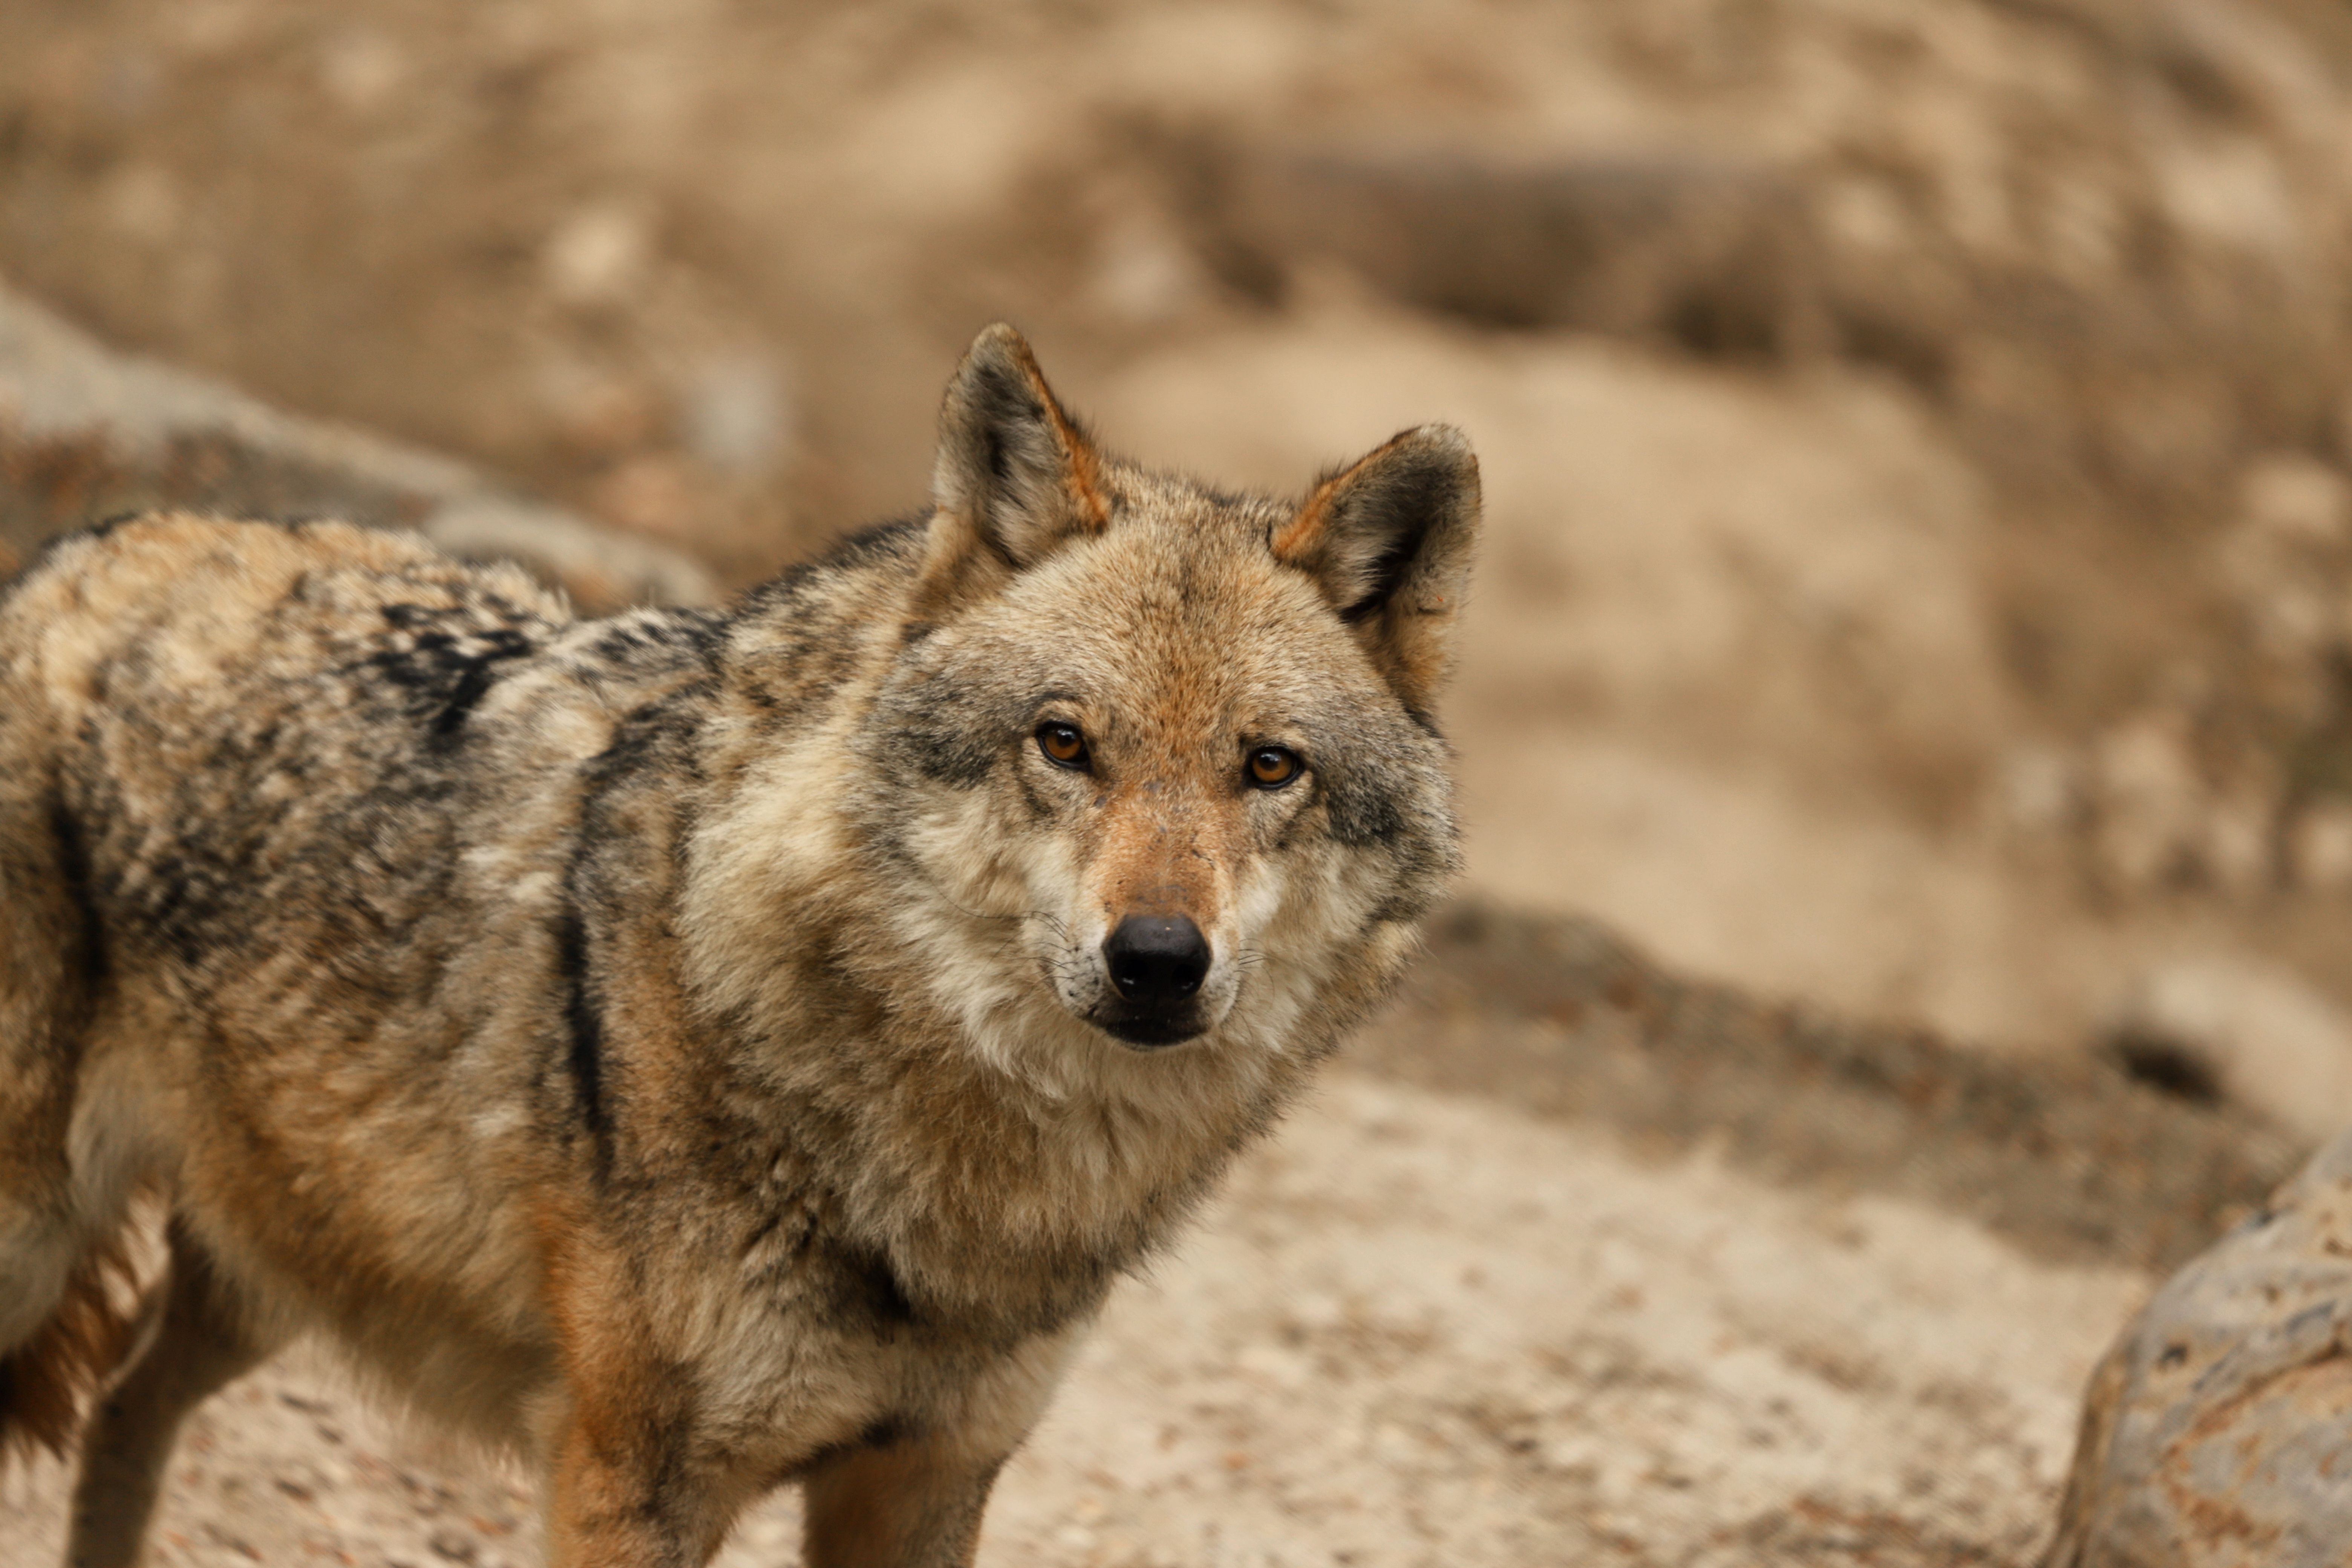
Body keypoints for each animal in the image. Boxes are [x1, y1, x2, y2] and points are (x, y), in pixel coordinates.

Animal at [0, 324, 1478, 1566]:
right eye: (1064, 742)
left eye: (1269, 768)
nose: (1160, 958)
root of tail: (76, 549)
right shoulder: (631, 1476)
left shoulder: (929, 1476)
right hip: (48, 1252)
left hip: (276, 1270)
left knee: (124, 1399)